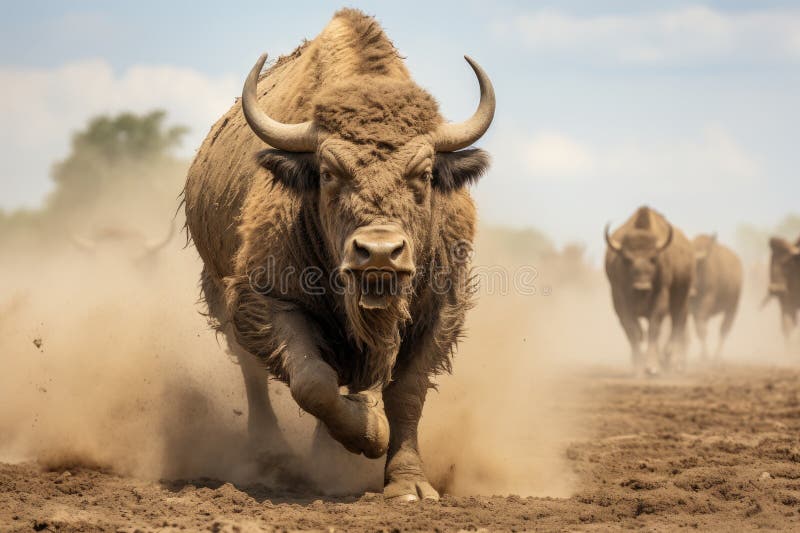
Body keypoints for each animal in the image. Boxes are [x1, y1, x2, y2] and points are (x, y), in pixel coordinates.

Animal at [184, 9, 494, 501]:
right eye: (329, 172)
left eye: (423, 173)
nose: (380, 252)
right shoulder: (265, 301)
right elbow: (313, 383)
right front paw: (370, 433)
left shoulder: (439, 312)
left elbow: (406, 395)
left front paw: (409, 484)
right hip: (218, 292)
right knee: (255, 376)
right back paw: (273, 456)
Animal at [605, 206, 694, 375]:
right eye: (627, 259)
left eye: (653, 258)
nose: (642, 287)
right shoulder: (618, 300)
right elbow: (633, 331)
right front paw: (637, 366)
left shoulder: (661, 296)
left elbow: (654, 329)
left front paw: (652, 367)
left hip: (682, 300)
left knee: (677, 325)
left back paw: (674, 362)